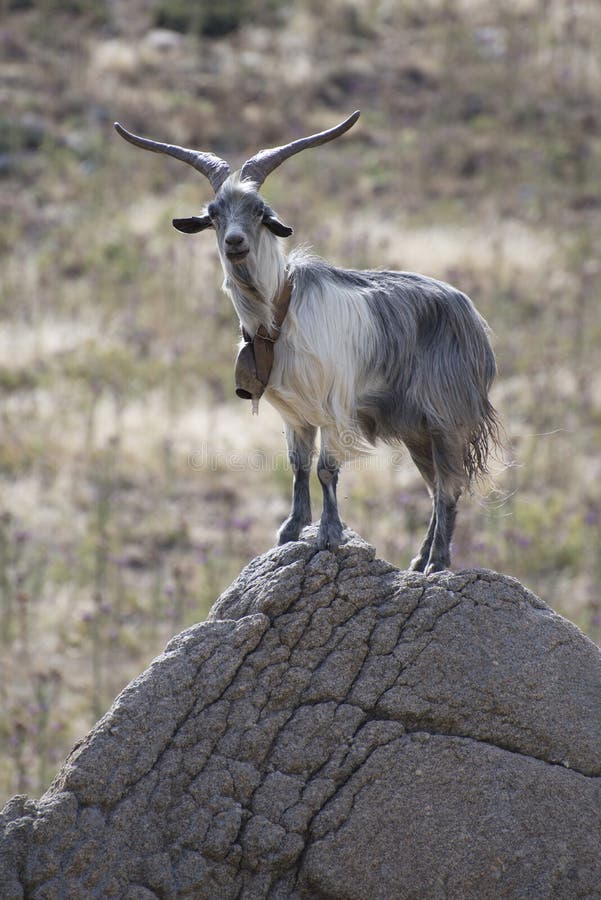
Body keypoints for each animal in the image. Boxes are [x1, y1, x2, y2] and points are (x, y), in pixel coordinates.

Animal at [114, 111, 499, 573]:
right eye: (215, 214)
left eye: (259, 211)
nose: (235, 242)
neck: (278, 313)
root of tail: (473, 318)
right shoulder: (294, 413)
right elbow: (298, 466)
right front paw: (290, 531)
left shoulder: (334, 406)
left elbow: (326, 469)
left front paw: (330, 535)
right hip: (416, 428)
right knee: (435, 487)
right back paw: (420, 559)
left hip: (445, 416)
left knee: (448, 487)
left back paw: (437, 564)